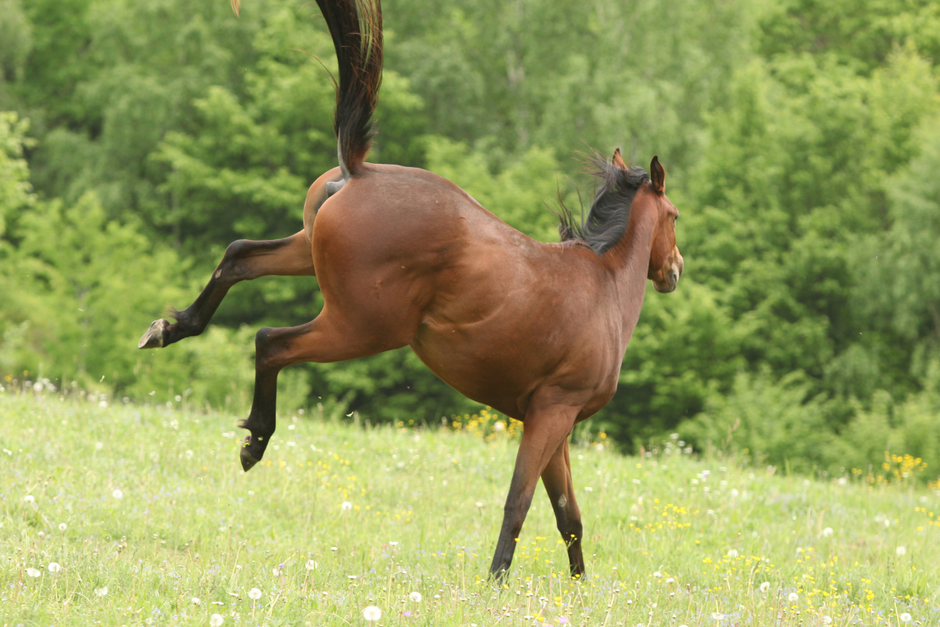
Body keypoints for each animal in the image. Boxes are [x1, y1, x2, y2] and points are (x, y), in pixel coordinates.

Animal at [139, 0, 683, 579]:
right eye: (674, 215)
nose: (675, 268)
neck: (602, 286)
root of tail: (358, 172)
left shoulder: (552, 417)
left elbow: (567, 514)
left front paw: (578, 588)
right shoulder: (553, 413)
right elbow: (520, 502)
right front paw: (496, 581)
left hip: (306, 255)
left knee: (239, 256)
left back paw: (170, 328)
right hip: (357, 328)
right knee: (271, 341)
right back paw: (254, 441)